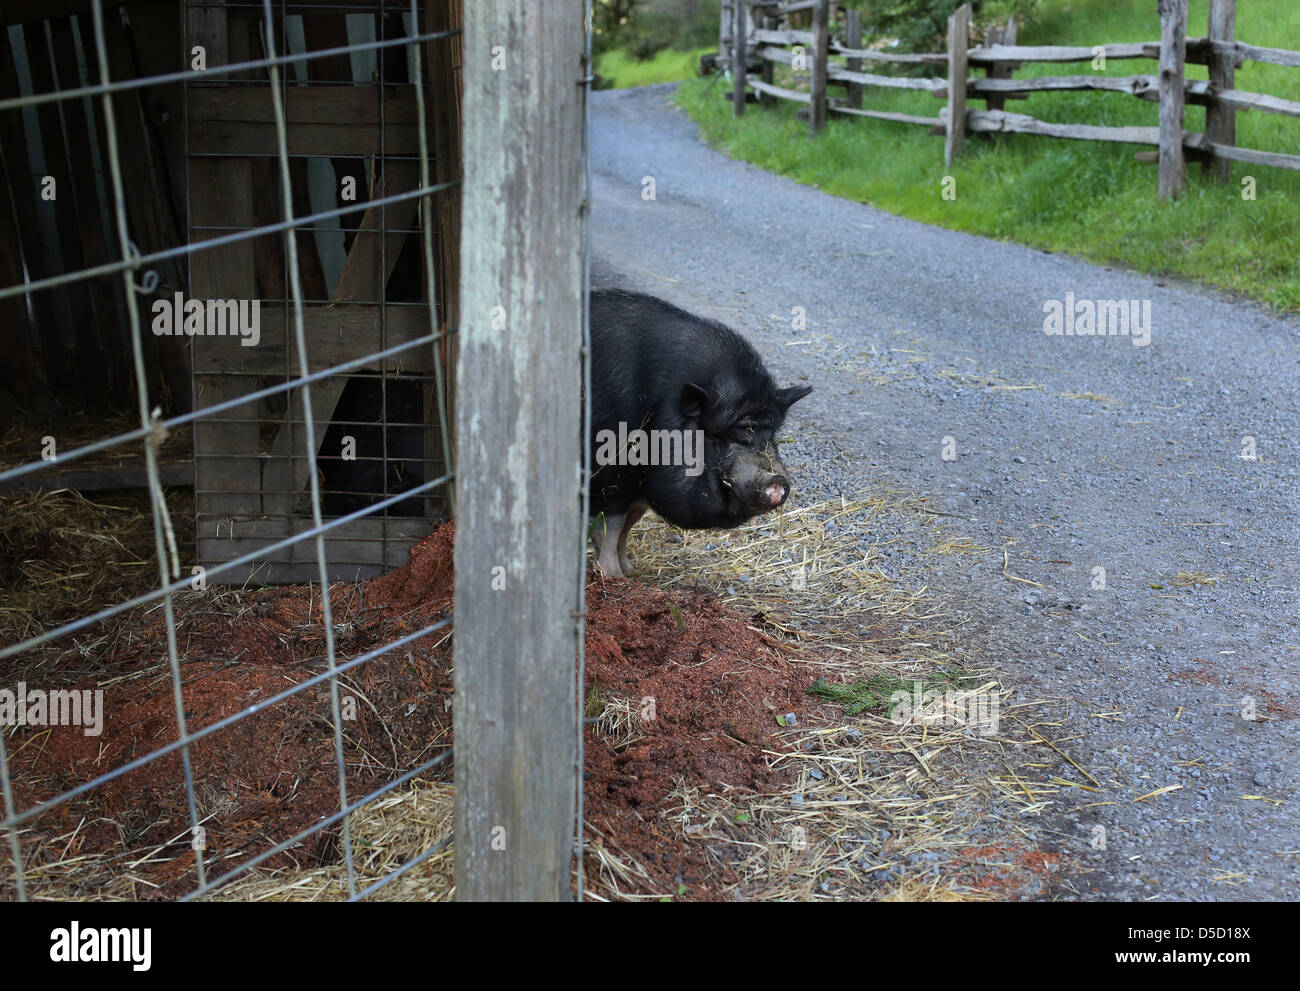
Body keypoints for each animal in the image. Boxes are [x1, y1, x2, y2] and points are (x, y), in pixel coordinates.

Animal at [588, 289, 812, 577]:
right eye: (717, 436)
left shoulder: (642, 489)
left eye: (771, 435)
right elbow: (612, 529)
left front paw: (632, 573)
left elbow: (629, 525)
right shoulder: (613, 479)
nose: (777, 481)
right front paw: (616, 577)